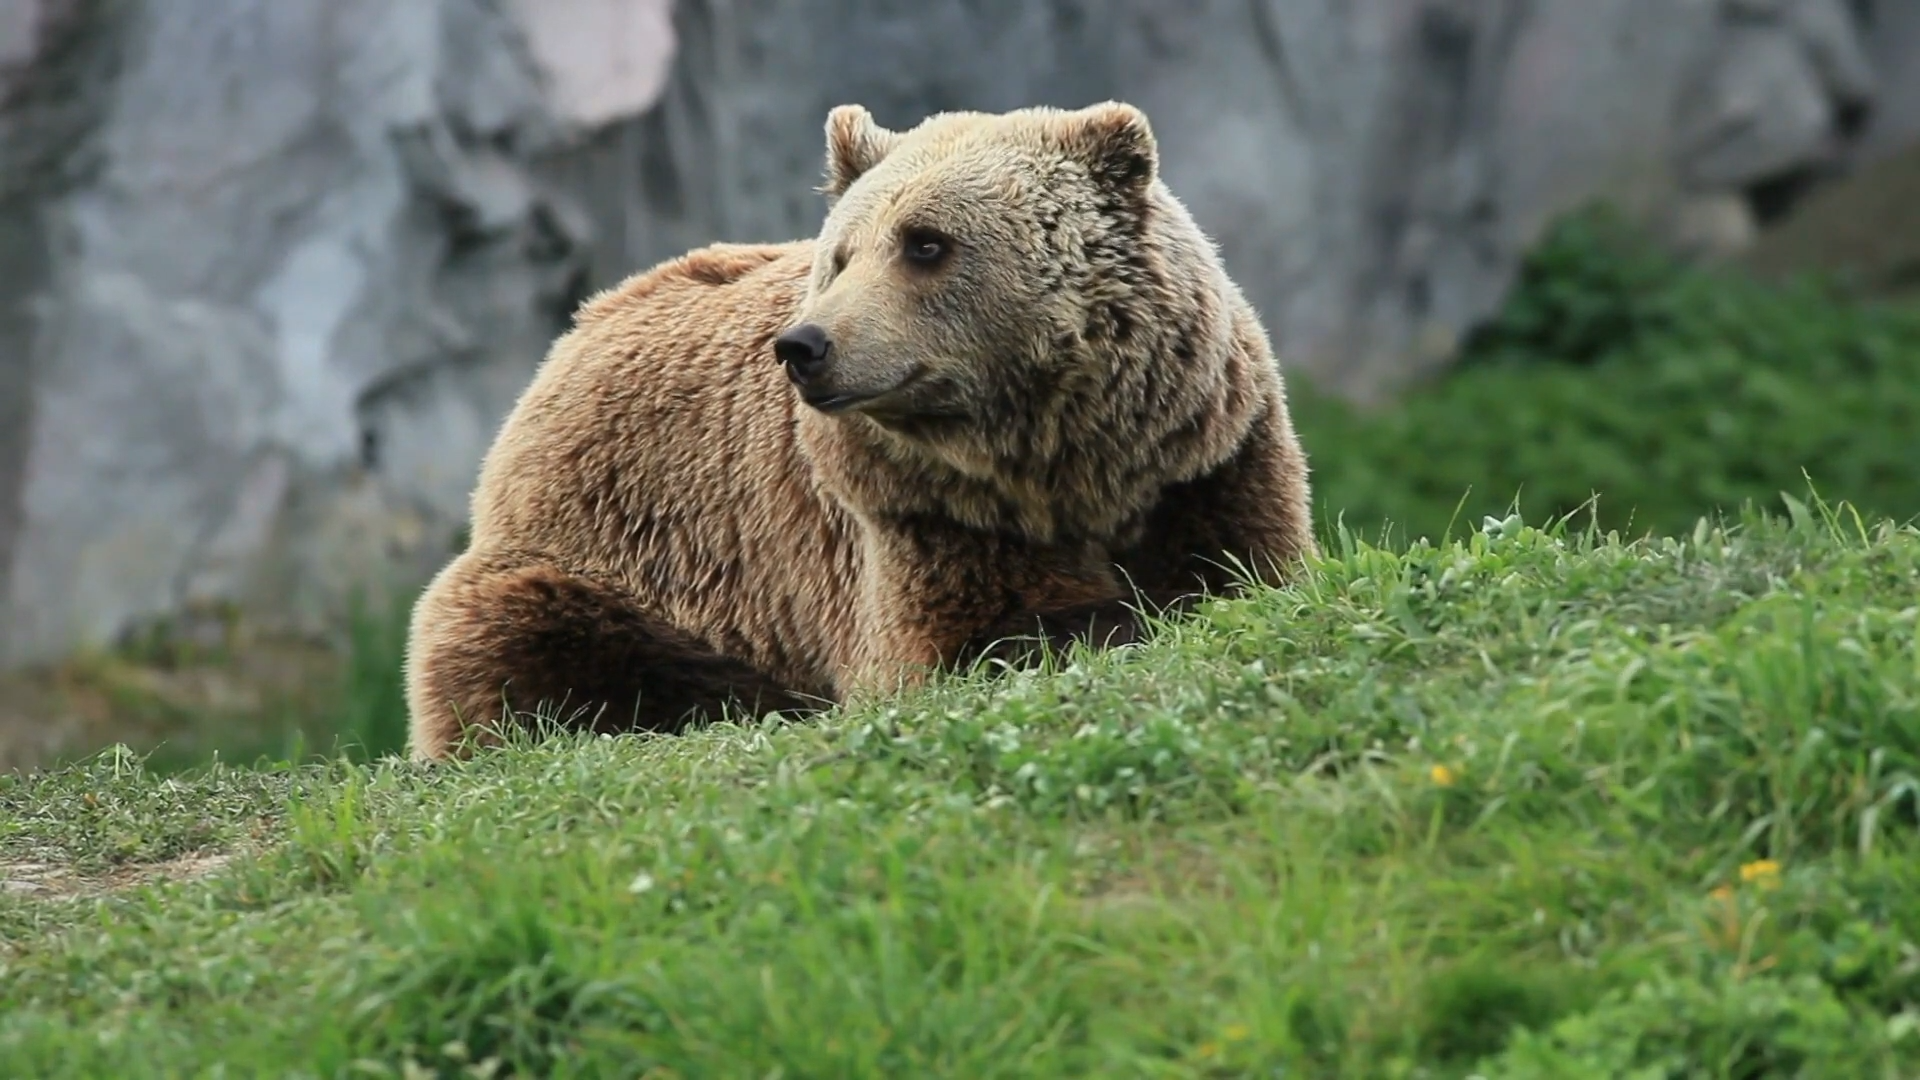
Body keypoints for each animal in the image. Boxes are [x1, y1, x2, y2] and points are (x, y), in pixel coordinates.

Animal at [403, 100, 1317, 762]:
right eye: (842, 254)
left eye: (926, 243)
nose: (805, 346)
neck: (1054, 456)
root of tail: (569, 338)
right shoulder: (917, 516)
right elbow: (964, 639)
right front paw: (1100, 618)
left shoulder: (1202, 453)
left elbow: (1244, 562)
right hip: (605, 558)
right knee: (514, 645)